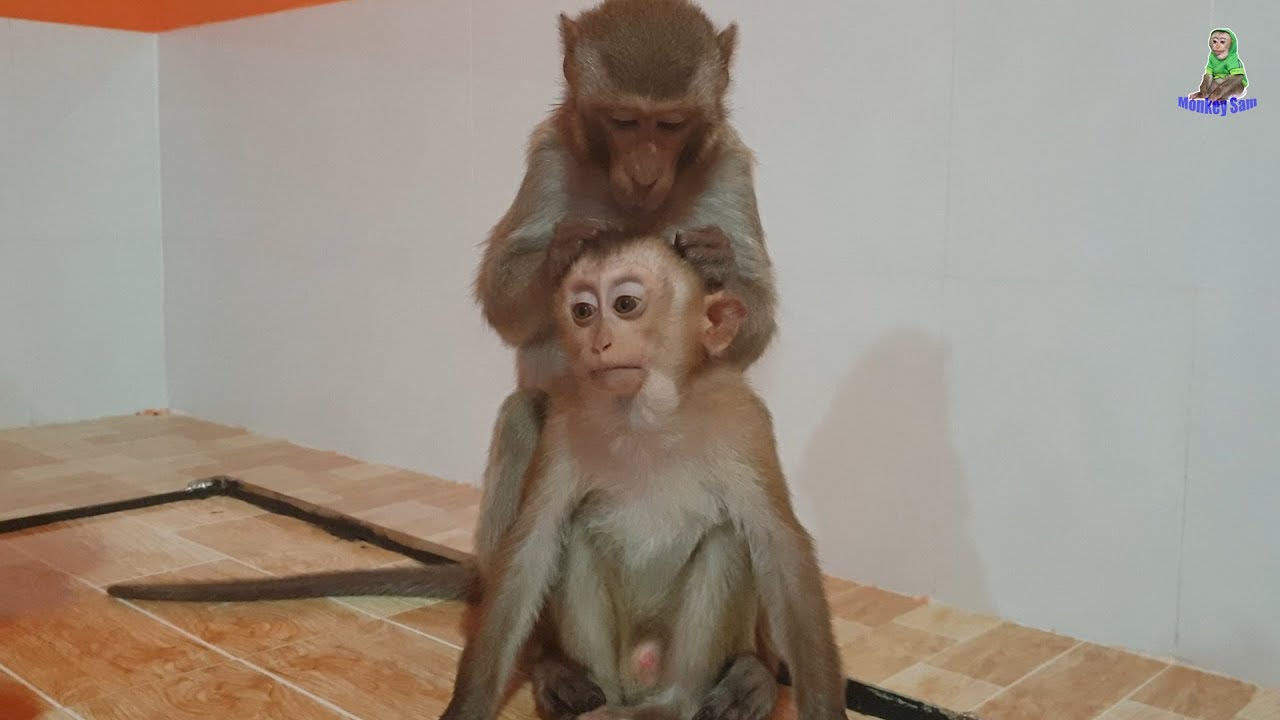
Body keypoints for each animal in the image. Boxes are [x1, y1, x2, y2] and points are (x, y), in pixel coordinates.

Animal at [437, 230, 845, 720]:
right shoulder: (566, 424)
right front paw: (468, 704)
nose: (599, 342)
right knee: (573, 535)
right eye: (583, 311)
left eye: (626, 304)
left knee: (728, 539)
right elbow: (532, 544)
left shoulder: (741, 420)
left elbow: (781, 547)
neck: (646, 414)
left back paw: (677, 702)